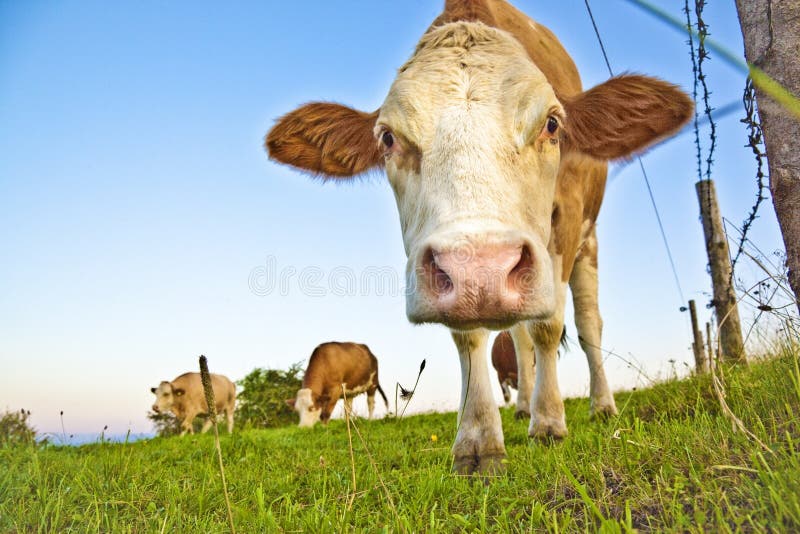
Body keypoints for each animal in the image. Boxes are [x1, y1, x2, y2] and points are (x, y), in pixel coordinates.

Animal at [266, 0, 692, 475]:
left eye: (552, 124)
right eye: (388, 137)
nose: (480, 270)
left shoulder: (564, 227)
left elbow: (549, 326)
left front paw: (549, 423)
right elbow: (473, 338)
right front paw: (479, 439)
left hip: (587, 239)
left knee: (586, 324)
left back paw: (599, 405)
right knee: (520, 338)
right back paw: (523, 407)